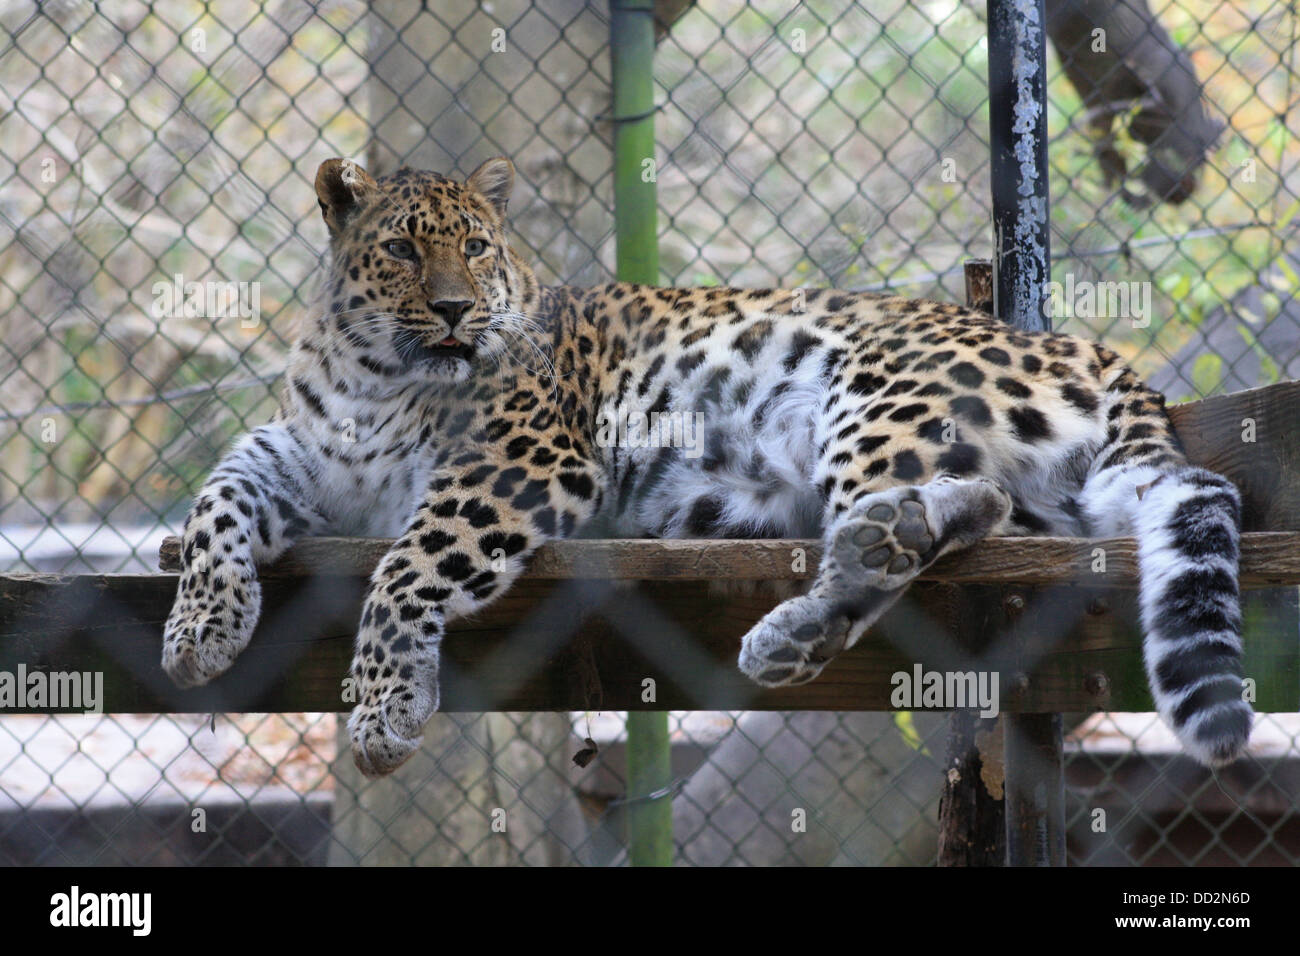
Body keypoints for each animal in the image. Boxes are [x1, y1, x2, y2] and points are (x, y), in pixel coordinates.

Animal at [162, 156, 1251, 777]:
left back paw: (801, 624)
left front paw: (386, 708)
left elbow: (402, 569)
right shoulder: (298, 452)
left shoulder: (520, 460)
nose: (454, 311)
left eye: (474, 246)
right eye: (399, 250)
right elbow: (221, 494)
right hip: (1009, 493)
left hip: (872, 390)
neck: (375, 372)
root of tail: (1089, 346)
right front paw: (199, 627)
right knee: (981, 505)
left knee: (902, 522)